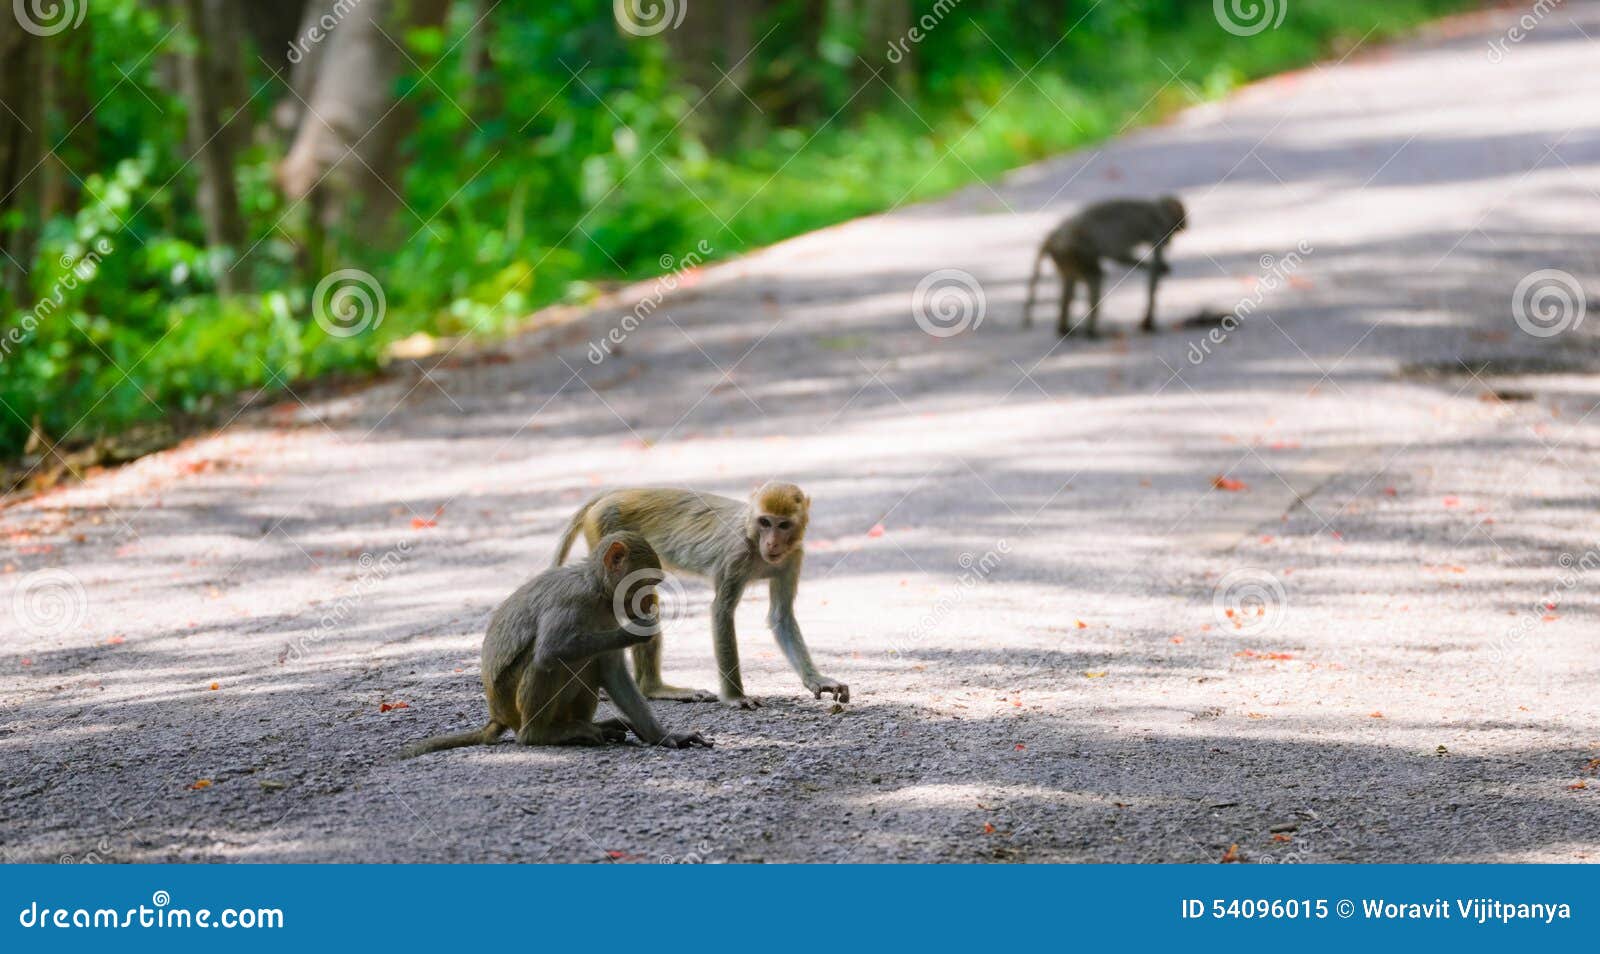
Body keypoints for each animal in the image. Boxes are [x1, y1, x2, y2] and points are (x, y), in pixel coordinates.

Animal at [401, 530, 712, 756]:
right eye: (644, 584)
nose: (649, 602)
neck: (598, 591)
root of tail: (497, 715)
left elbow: (612, 671)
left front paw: (663, 736)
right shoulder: (572, 600)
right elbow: (551, 650)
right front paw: (634, 633)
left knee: (590, 664)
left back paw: (589, 726)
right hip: (514, 706)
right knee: (551, 661)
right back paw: (540, 734)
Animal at [553, 482, 847, 710]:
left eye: (783, 525)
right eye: (765, 522)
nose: (772, 543)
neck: (754, 541)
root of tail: (618, 493)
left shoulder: (793, 557)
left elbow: (781, 616)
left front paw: (817, 679)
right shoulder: (737, 554)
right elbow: (722, 611)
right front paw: (735, 697)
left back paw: (653, 688)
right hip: (608, 532)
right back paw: (653, 688)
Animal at [1021, 195, 1187, 338]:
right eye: (1174, 231)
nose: (1170, 242)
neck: (1157, 208)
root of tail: (1052, 236)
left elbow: (1121, 257)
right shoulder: (1157, 229)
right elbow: (1120, 255)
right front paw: (1148, 321)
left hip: (1064, 256)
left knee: (1072, 283)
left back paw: (1064, 328)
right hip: (1073, 249)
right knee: (1095, 276)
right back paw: (1090, 332)